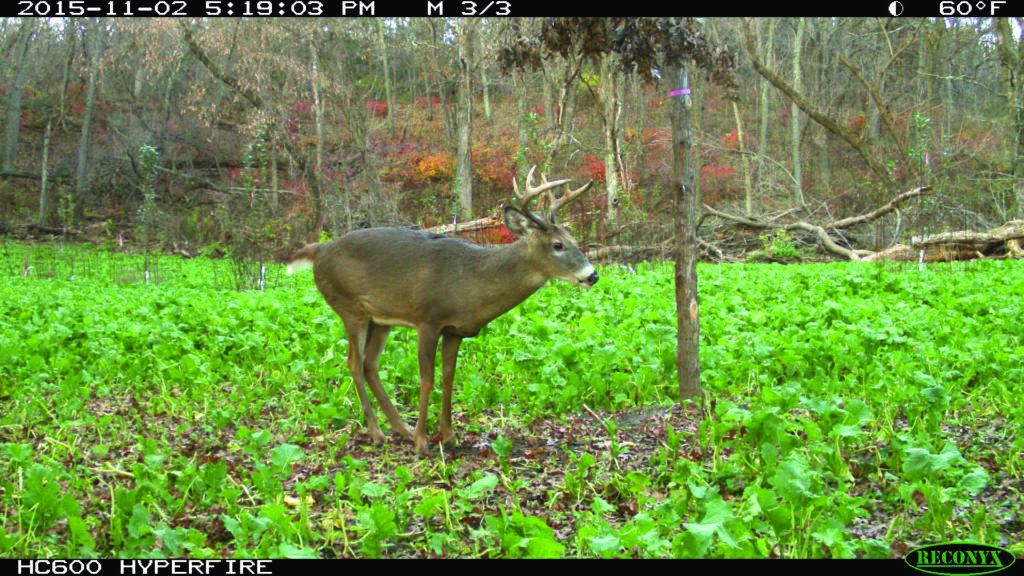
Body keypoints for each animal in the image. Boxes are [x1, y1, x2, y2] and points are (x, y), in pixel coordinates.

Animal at [286, 166, 598, 455]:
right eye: (558, 245)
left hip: (381, 319)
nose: (592, 275)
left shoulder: (455, 330)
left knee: (369, 364)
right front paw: (422, 442)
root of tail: (320, 250)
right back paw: (378, 433)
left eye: (574, 240)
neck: (471, 282)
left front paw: (448, 435)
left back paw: (401, 428)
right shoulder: (427, 320)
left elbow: (448, 377)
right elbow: (427, 379)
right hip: (350, 308)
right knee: (353, 362)